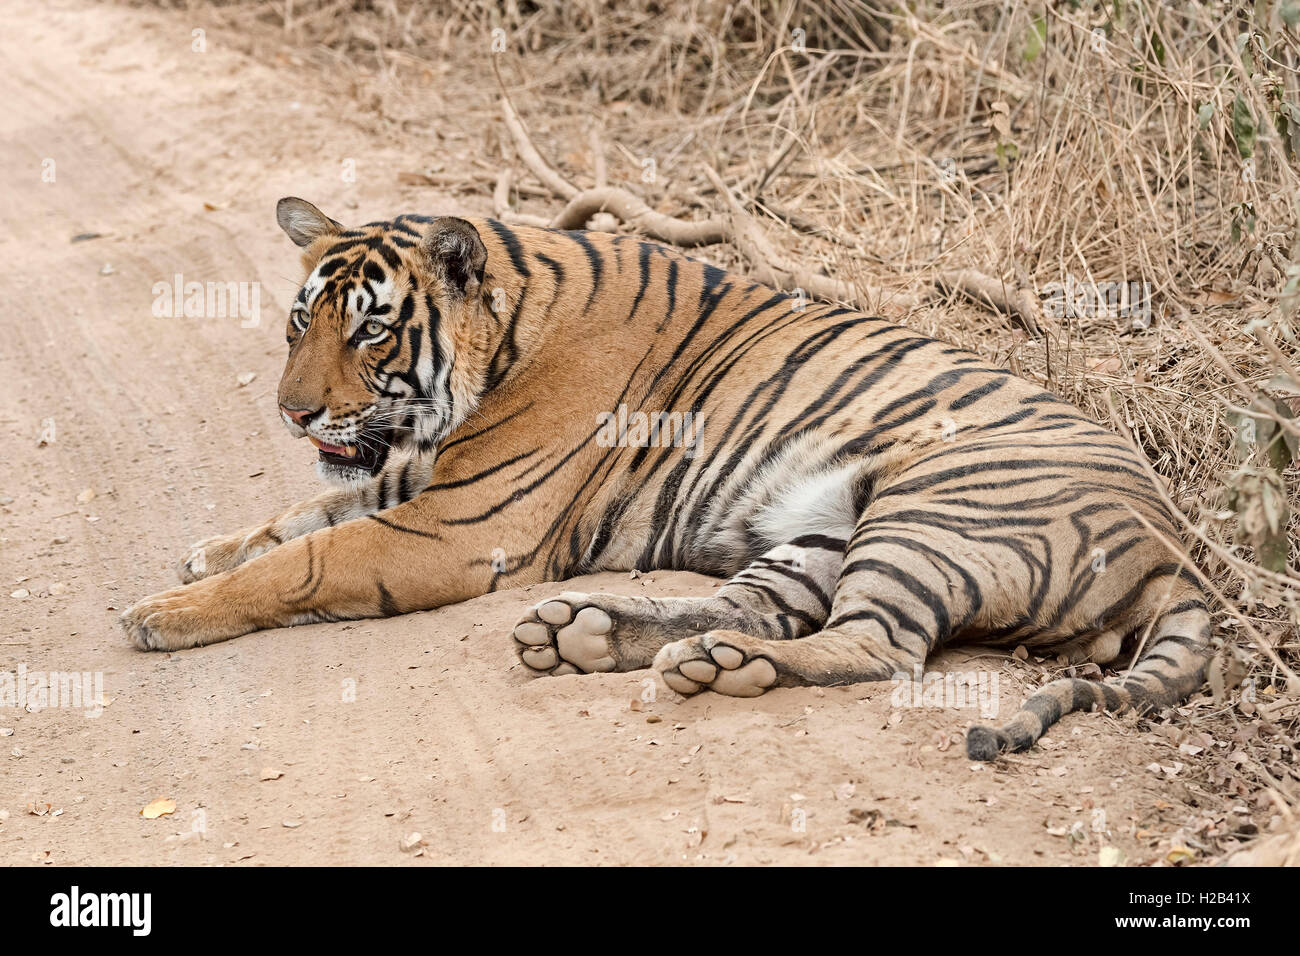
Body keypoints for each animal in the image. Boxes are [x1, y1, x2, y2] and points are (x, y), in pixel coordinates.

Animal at [119, 196, 1212, 760]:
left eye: (371, 329)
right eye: (301, 322)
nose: (293, 412)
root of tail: (1181, 547)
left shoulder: (465, 523)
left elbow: (307, 558)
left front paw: (163, 611)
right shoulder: (424, 480)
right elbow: (304, 511)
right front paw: (207, 551)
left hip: (931, 507)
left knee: (878, 647)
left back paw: (715, 670)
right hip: (822, 528)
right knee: (750, 610)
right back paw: (596, 636)